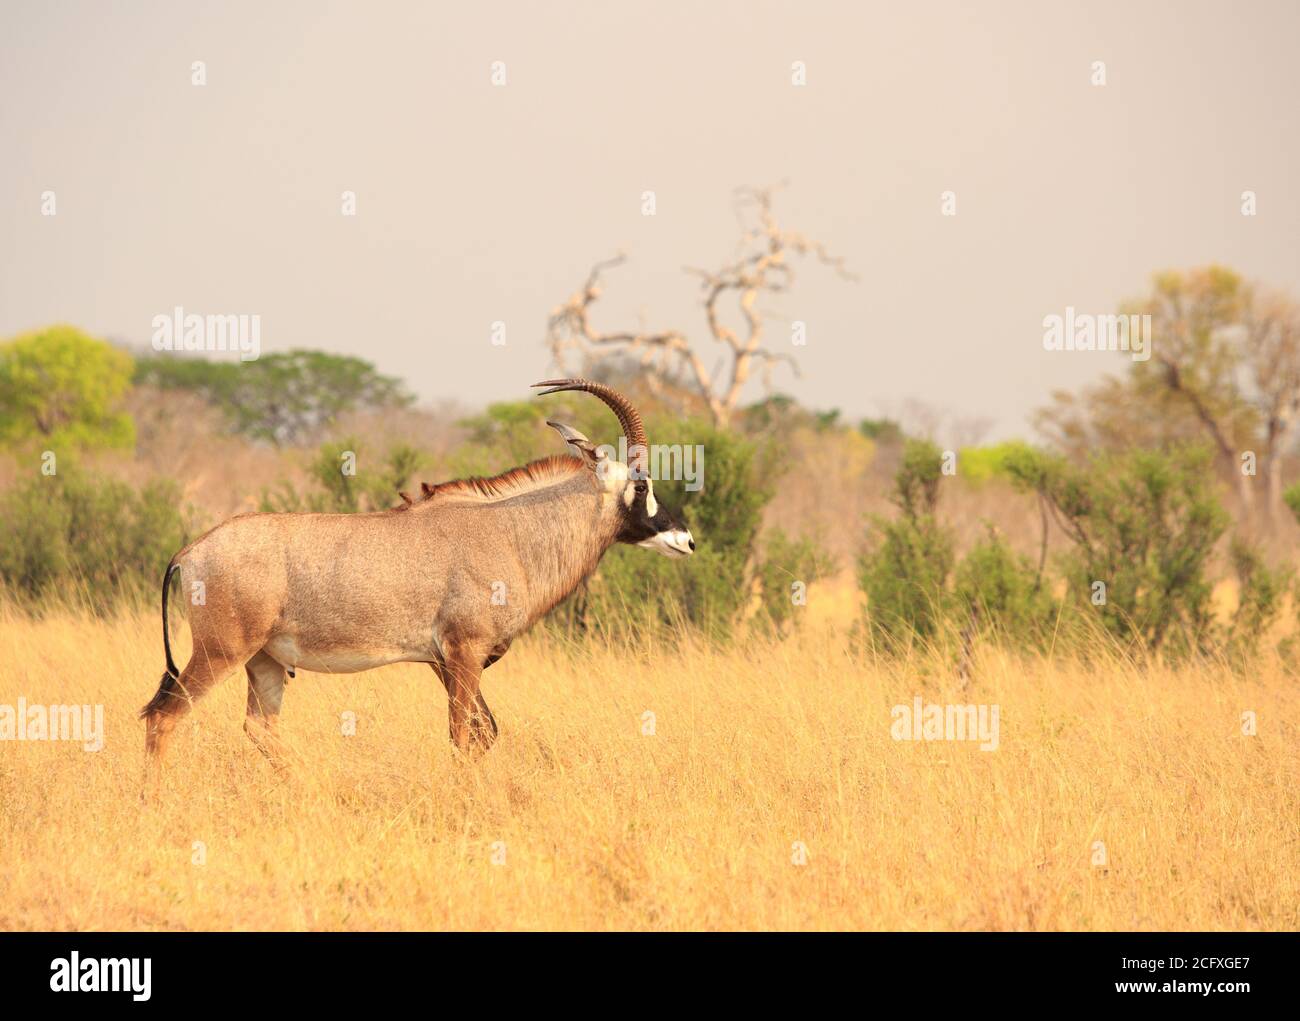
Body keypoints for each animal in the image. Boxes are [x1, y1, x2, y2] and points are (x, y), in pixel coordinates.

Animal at [140, 379, 694, 786]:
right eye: (641, 484)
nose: (685, 540)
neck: (510, 532)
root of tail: (190, 552)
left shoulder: (443, 662)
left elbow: (486, 734)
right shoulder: (464, 653)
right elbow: (463, 737)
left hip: (266, 662)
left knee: (259, 728)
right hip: (220, 652)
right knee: (165, 718)